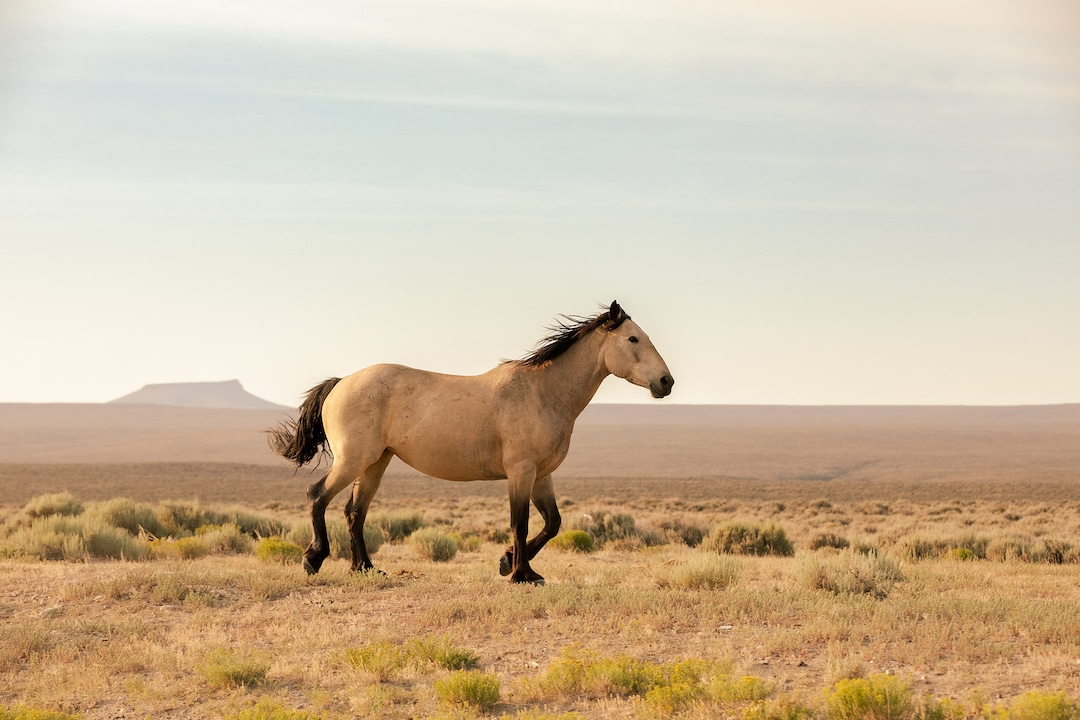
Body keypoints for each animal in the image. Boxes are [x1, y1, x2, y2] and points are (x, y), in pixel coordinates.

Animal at [267, 300, 674, 584]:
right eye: (633, 338)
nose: (666, 382)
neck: (544, 392)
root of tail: (342, 382)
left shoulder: (542, 475)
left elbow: (552, 523)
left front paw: (509, 563)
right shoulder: (521, 472)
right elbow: (520, 523)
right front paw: (521, 575)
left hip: (375, 463)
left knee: (355, 512)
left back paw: (364, 568)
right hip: (353, 460)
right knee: (318, 495)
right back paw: (314, 559)